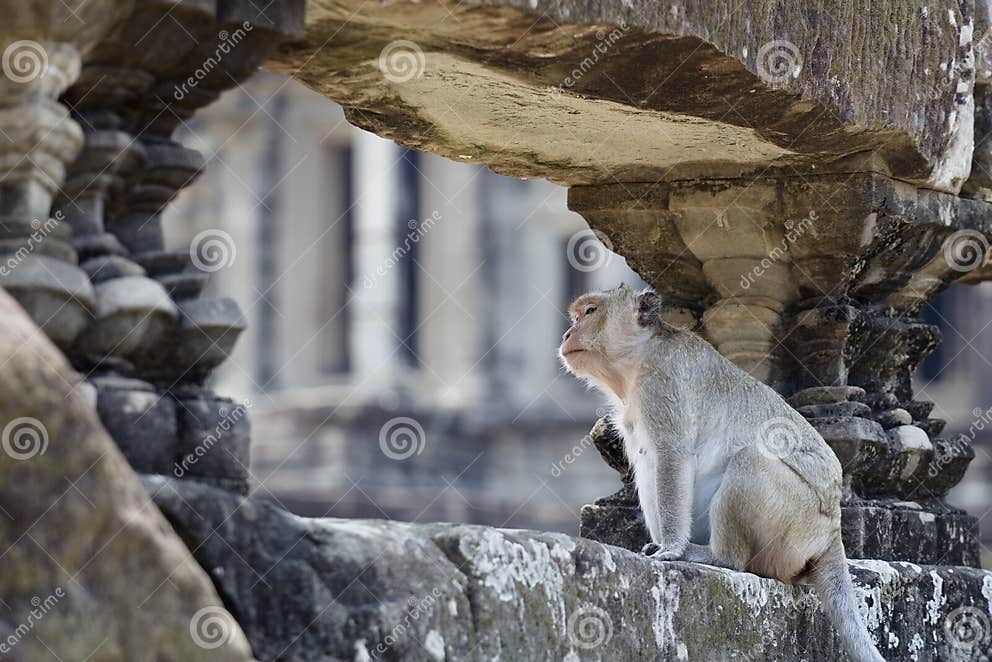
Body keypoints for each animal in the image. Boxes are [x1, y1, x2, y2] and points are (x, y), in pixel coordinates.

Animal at [559, 284, 885, 662]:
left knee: (750, 462)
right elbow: (647, 463)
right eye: (579, 314)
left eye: (590, 312)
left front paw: (672, 548)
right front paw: (661, 542)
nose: (567, 334)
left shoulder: (663, 381)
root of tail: (833, 530)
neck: (639, 358)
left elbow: (672, 456)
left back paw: (719, 557)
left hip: (798, 524)